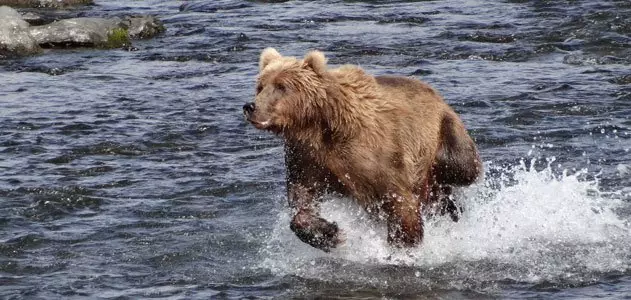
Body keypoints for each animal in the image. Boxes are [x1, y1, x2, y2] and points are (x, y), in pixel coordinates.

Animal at [244, 48, 482, 252]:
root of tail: (434, 92)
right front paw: (330, 233)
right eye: (260, 86)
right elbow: (302, 195)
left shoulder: (377, 153)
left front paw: (403, 244)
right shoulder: (307, 155)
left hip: (444, 131)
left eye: (281, 86)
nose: (250, 106)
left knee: (461, 168)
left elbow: (400, 201)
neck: (320, 125)